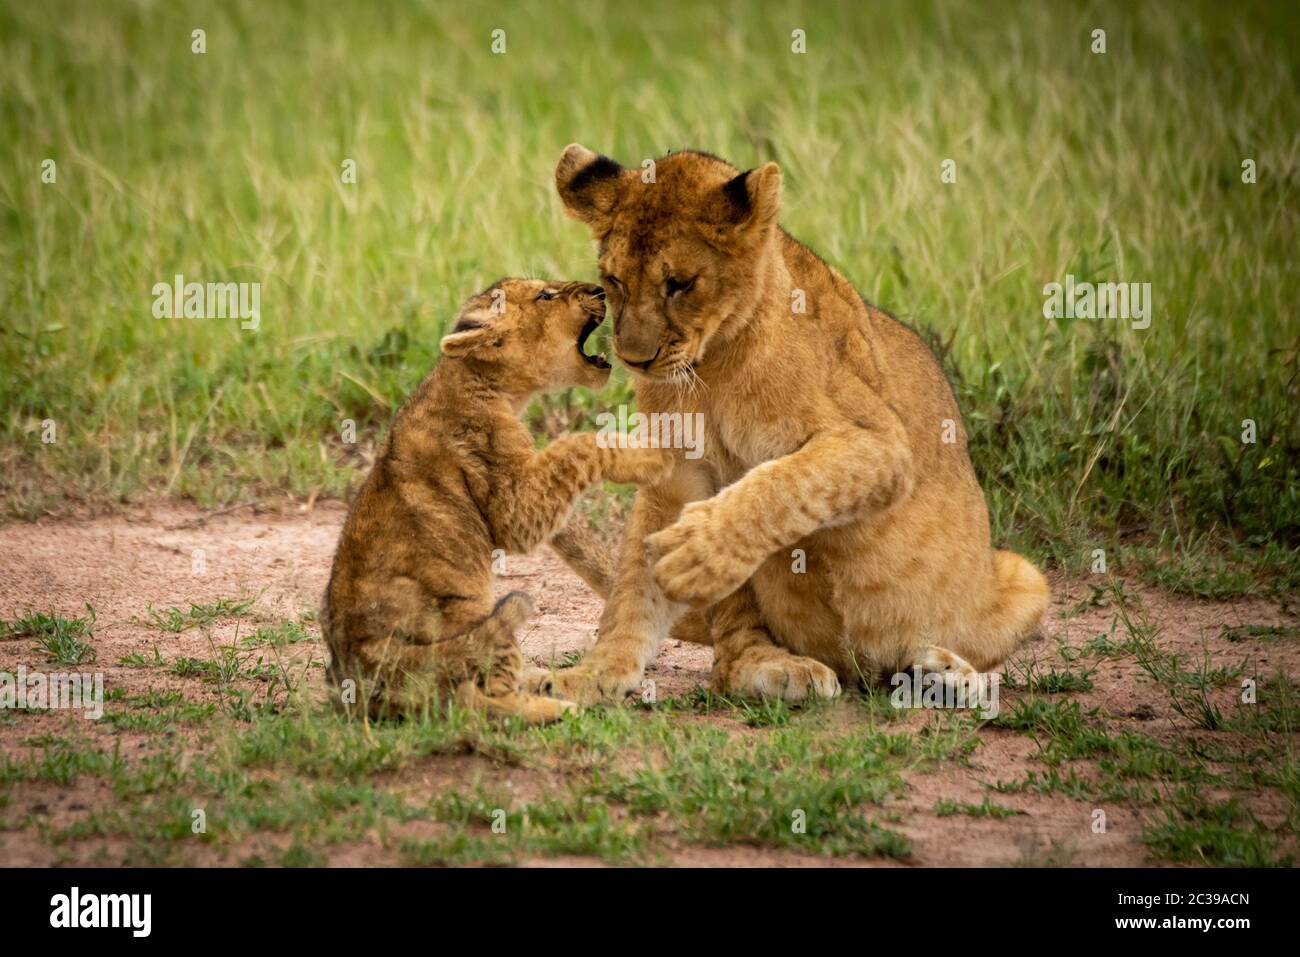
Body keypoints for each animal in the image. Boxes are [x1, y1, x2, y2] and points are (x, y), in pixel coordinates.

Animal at [322, 278, 669, 722]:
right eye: (545, 296)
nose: (598, 289)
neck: (474, 379)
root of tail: (359, 682)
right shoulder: (512, 507)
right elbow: (576, 444)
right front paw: (651, 457)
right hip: (476, 621)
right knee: (473, 703)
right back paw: (557, 707)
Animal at [542, 145, 1050, 705]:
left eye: (679, 284)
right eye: (614, 281)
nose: (633, 359)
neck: (712, 365)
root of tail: (860, 670)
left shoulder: (879, 442)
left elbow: (784, 482)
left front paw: (695, 549)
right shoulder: (678, 476)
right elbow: (633, 591)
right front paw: (592, 675)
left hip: (1026, 577)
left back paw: (945, 673)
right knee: (730, 660)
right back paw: (780, 668)